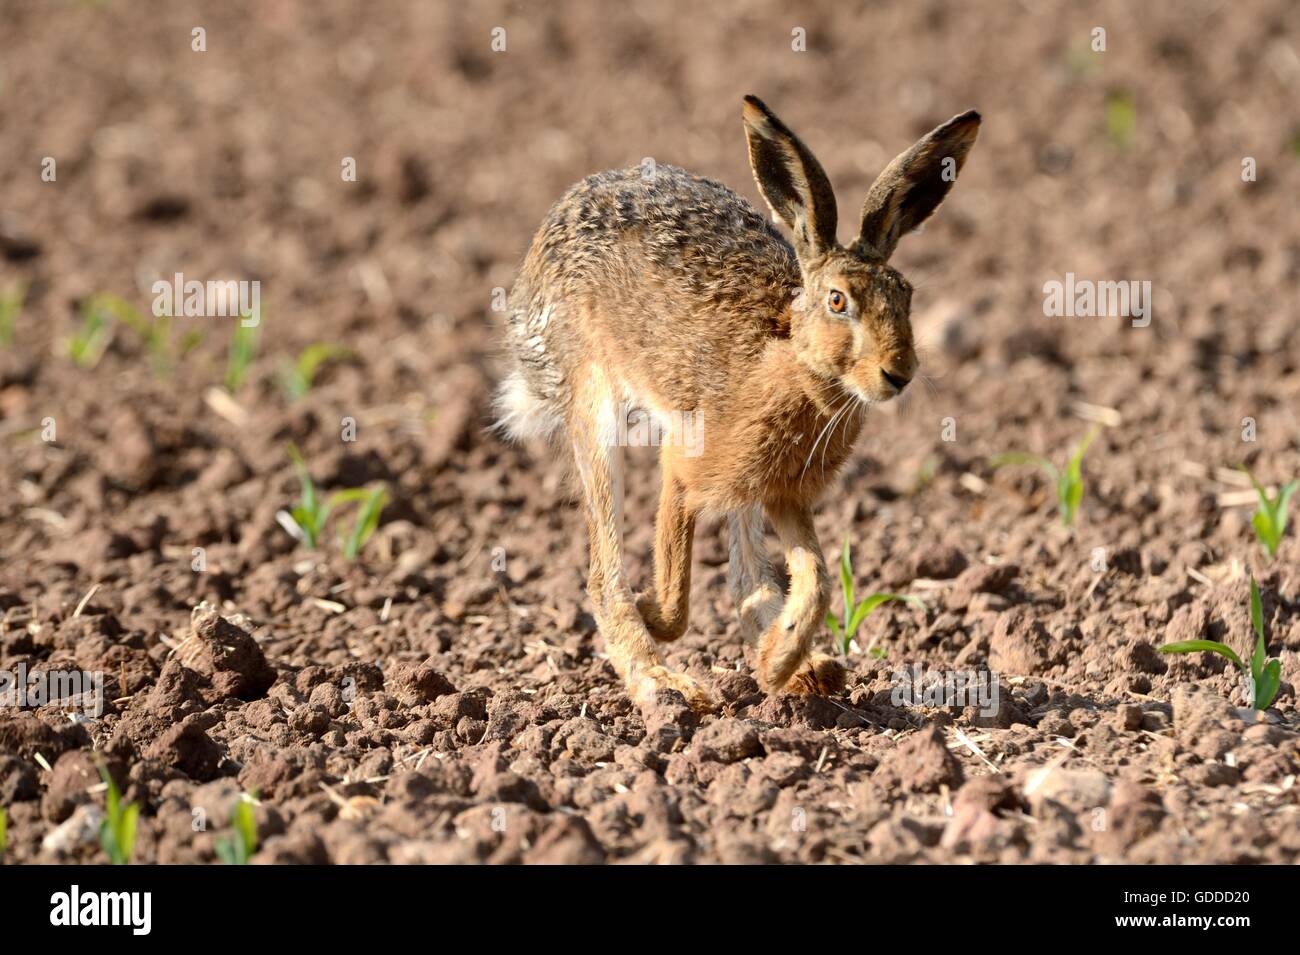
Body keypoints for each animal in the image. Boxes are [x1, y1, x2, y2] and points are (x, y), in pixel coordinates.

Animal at [497, 95, 980, 712]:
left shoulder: (784, 493)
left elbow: (817, 580)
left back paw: (801, 669)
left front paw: (778, 662)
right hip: (591, 399)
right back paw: (660, 681)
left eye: (908, 297)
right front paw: (656, 614)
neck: (795, 363)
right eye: (838, 301)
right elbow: (676, 590)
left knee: (745, 573)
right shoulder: (683, 468)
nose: (899, 374)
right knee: (603, 571)